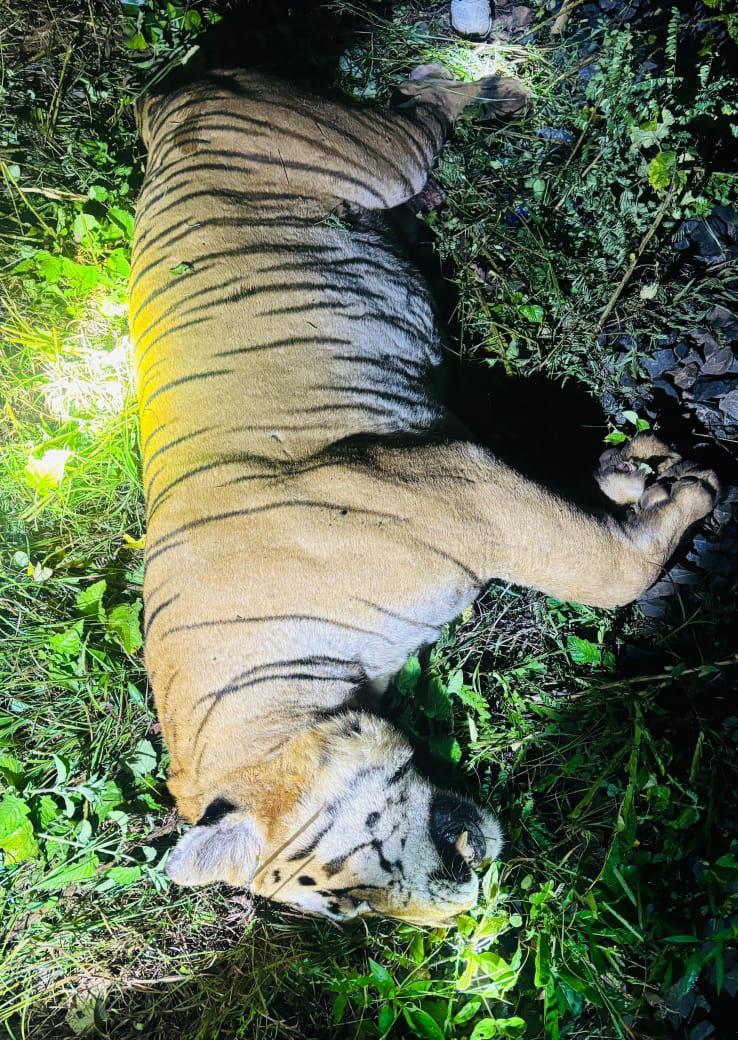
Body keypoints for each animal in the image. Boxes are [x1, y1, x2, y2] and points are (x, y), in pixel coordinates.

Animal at [129, 65, 719, 926]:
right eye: (348, 916)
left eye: (345, 889)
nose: (460, 911)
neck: (295, 689)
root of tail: (167, 96)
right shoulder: (474, 481)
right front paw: (638, 470)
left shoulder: (457, 483)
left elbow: (610, 572)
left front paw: (693, 486)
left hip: (373, 151)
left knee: (428, 95)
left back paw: (499, 84)